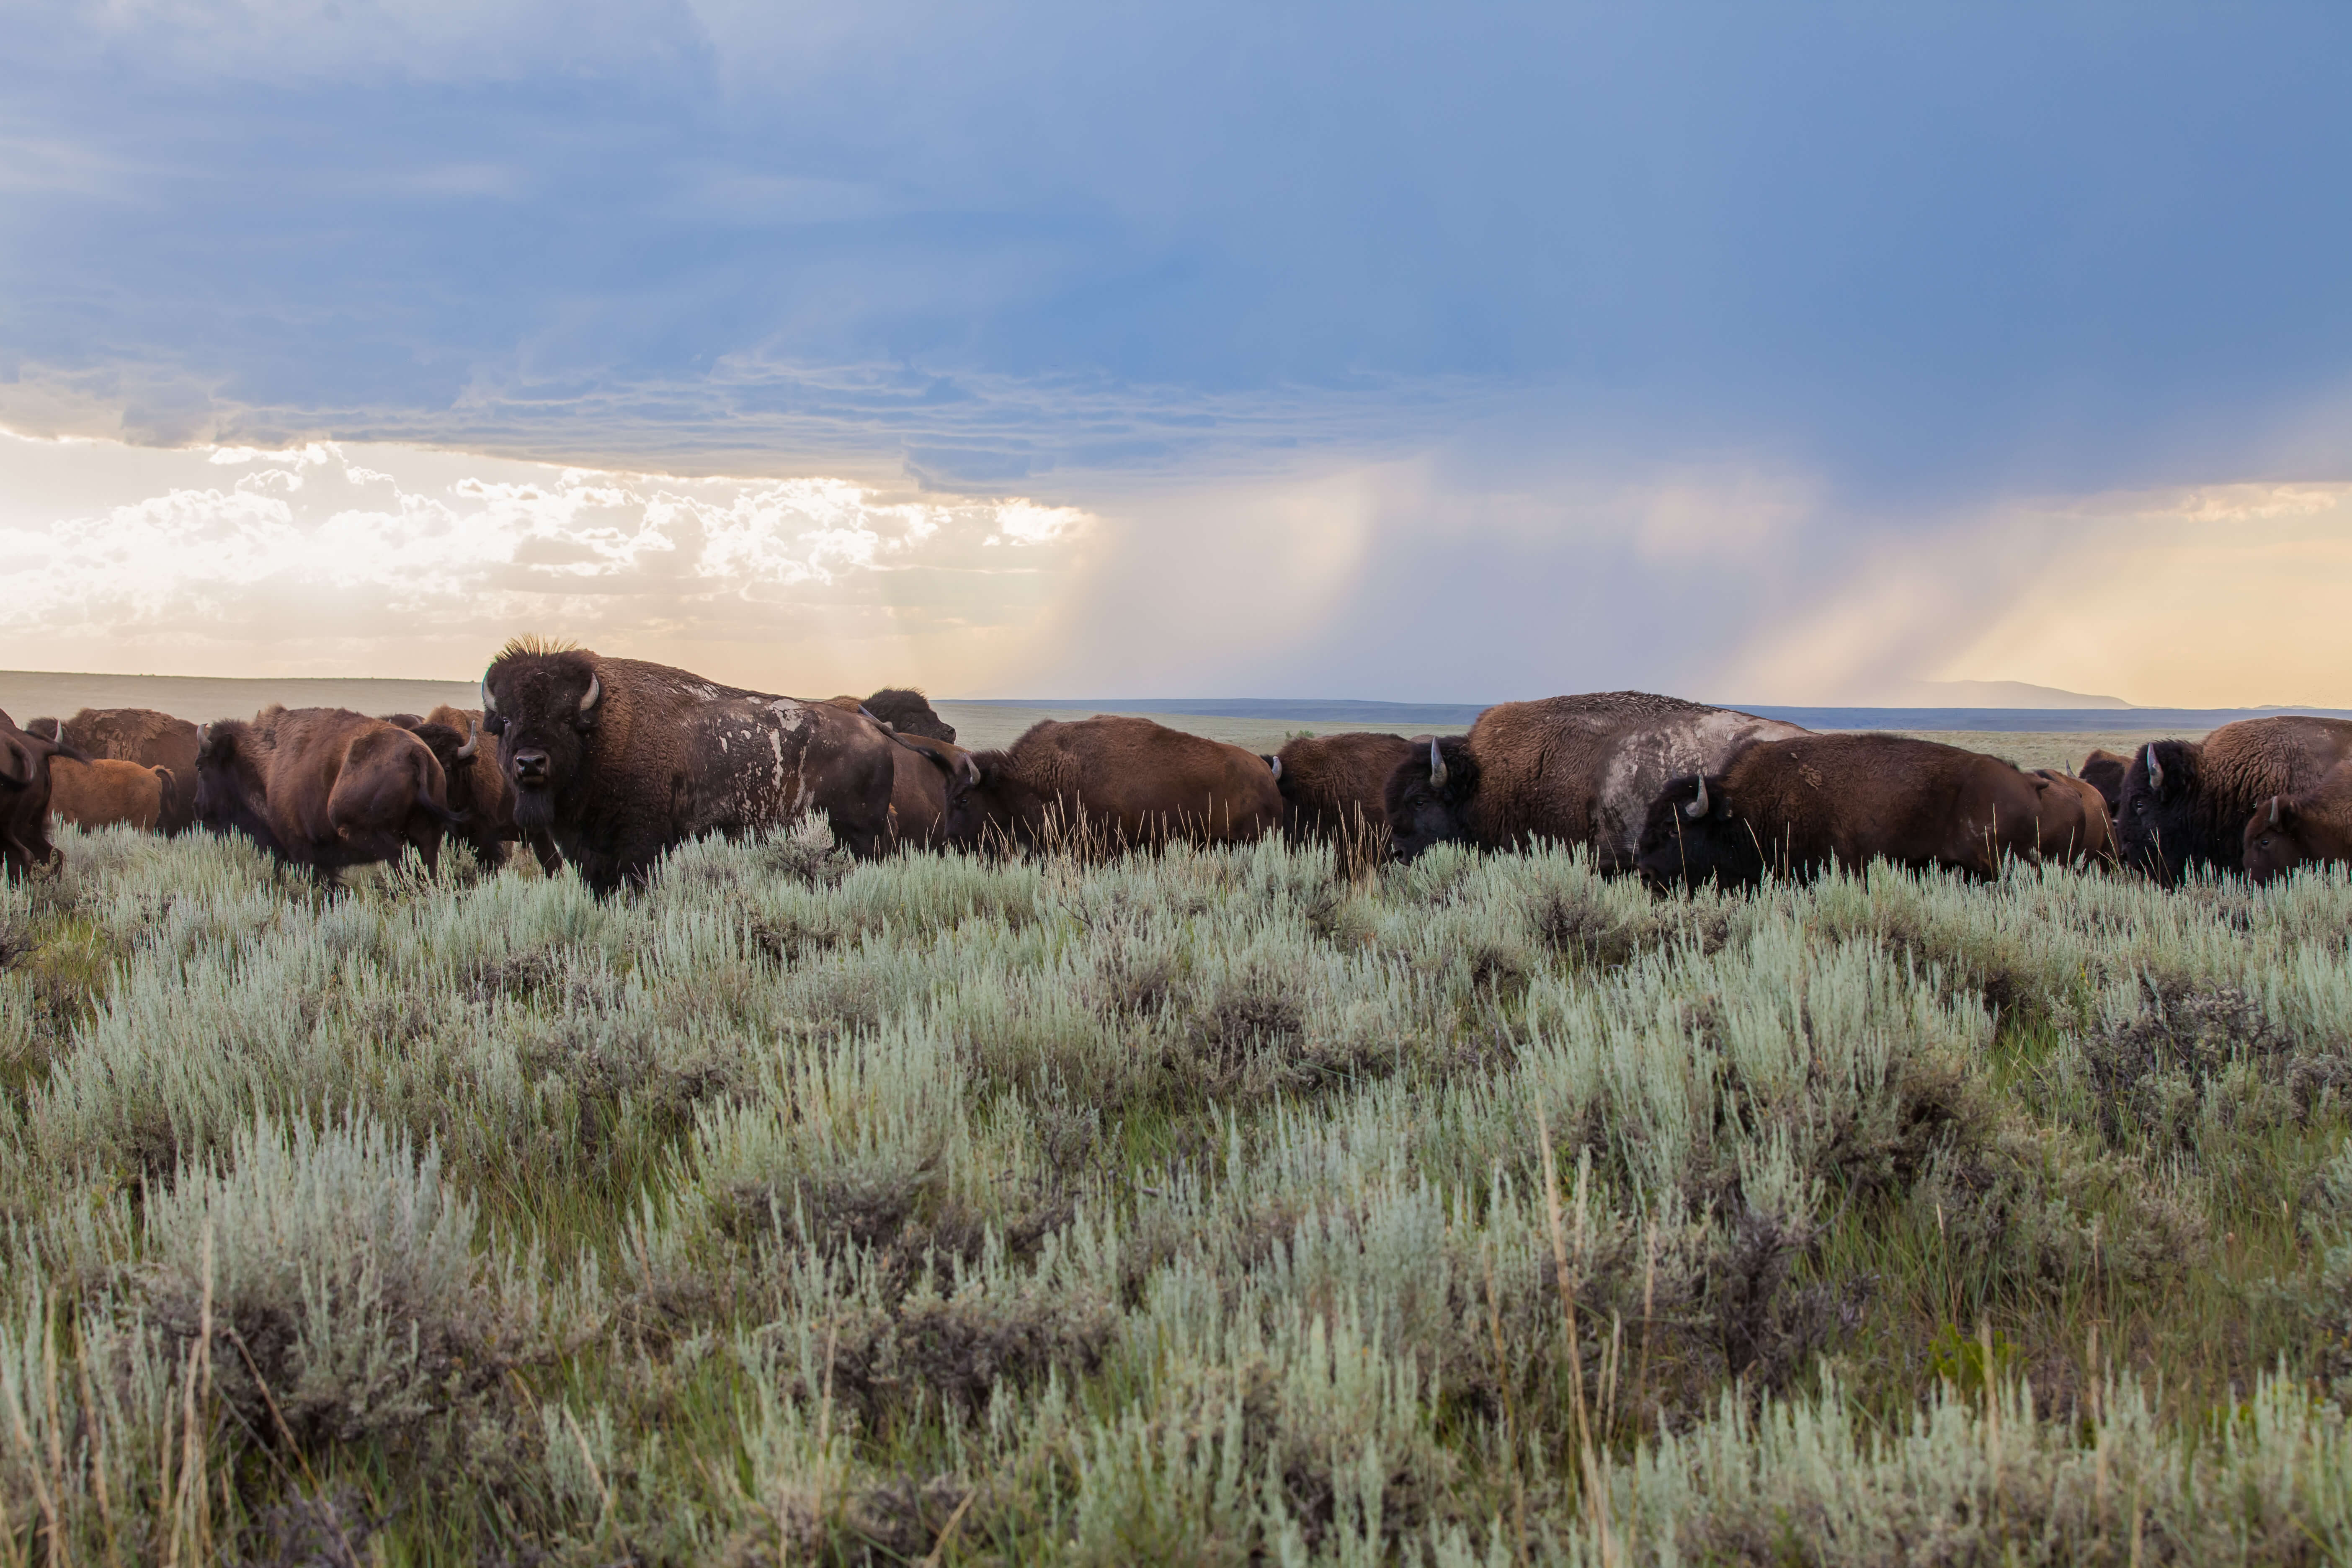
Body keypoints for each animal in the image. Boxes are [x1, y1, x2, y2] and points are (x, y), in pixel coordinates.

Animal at [193, 706, 466, 877]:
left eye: (200, 765)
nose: (200, 809)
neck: (267, 761)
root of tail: (416, 752)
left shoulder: (301, 852)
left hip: (369, 833)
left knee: (400, 861)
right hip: (428, 837)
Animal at [479, 642, 897, 894]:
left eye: (565, 719)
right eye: (506, 720)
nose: (530, 762)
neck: (602, 730)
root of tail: (875, 729)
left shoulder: (639, 850)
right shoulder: (589, 859)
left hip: (858, 839)